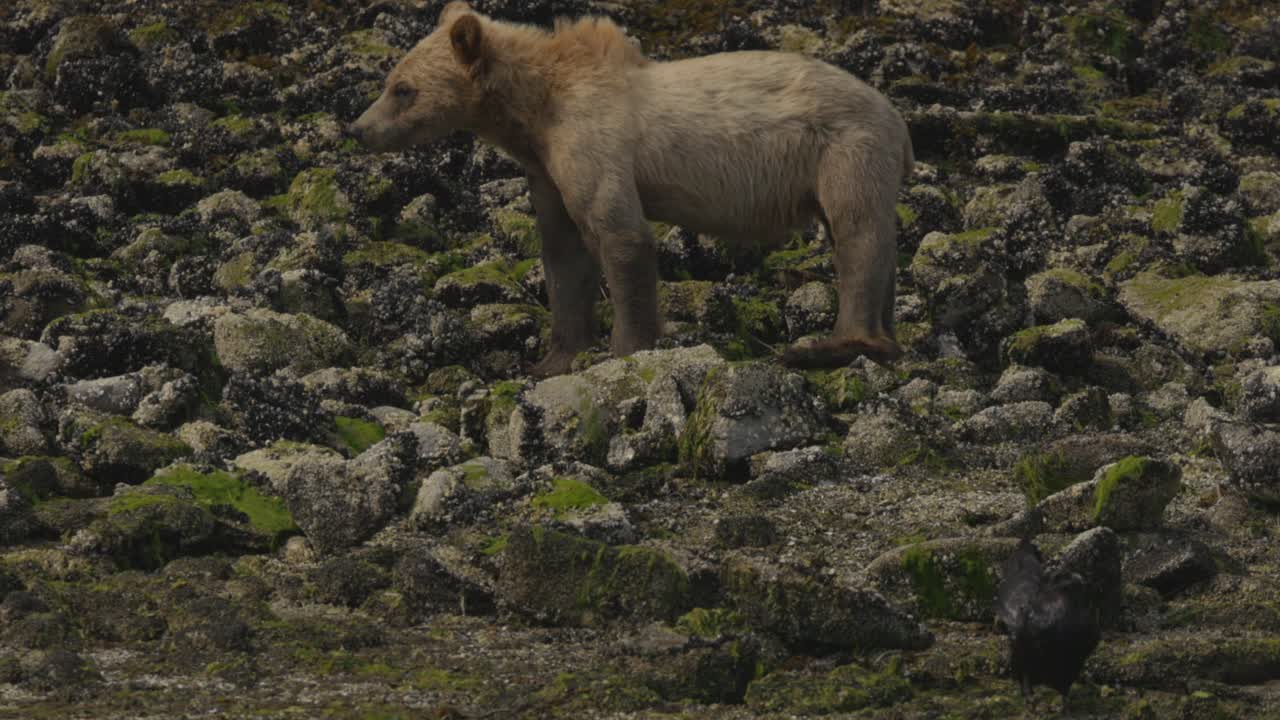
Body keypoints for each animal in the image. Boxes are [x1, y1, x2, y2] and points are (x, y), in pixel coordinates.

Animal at [349, 1, 914, 378]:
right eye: (391, 80)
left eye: (402, 89)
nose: (358, 129)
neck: (535, 110)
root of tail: (898, 119)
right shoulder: (547, 168)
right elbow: (563, 254)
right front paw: (552, 359)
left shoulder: (593, 141)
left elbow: (620, 236)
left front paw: (624, 349)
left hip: (845, 148)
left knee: (857, 234)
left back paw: (830, 344)